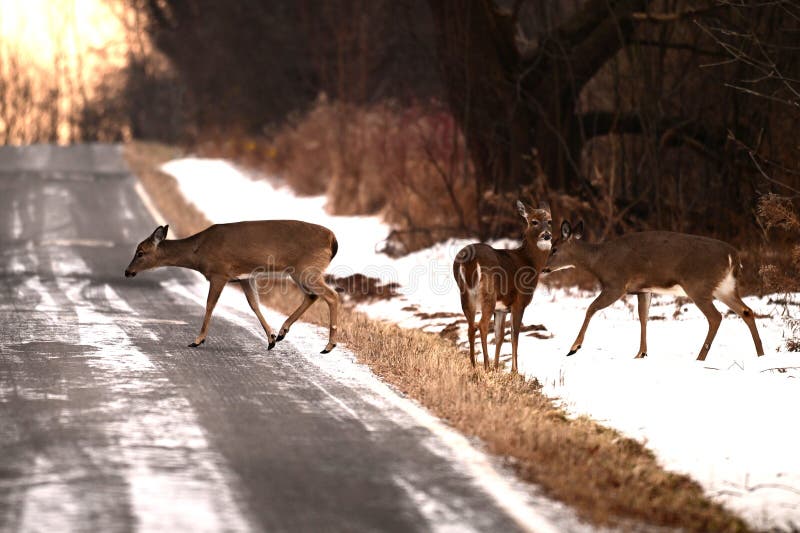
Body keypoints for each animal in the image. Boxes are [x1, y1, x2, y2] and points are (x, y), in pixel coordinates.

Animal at [124, 221, 340, 353]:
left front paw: (197, 340)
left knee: (331, 295)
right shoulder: (244, 278)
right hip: (300, 272)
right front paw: (270, 339)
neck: (198, 252)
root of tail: (333, 240)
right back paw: (282, 332)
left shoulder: (219, 273)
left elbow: (210, 305)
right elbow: (254, 305)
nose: (127, 272)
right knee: (312, 296)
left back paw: (329, 346)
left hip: (307, 268)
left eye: (140, 252)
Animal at [453, 200, 552, 373]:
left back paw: (474, 365)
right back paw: (485, 365)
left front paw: (497, 367)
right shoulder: (519, 301)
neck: (529, 262)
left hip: (465, 295)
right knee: (482, 325)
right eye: (534, 221)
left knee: (471, 326)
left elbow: (499, 336)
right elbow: (514, 335)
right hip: (488, 293)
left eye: (550, 221)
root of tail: (469, 259)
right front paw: (514, 371)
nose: (547, 235)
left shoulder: (501, 308)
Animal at [543, 220, 765, 361]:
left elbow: (590, 308)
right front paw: (641, 353)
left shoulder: (616, 284)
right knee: (746, 311)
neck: (599, 262)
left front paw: (574, 347)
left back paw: (700, 358)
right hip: (725, 287)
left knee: (716, 317)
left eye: (554, 249)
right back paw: (761, 354)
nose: (544, 269)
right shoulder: (643, 289)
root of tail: (733, 256)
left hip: (698, 285)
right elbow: (643, 317)